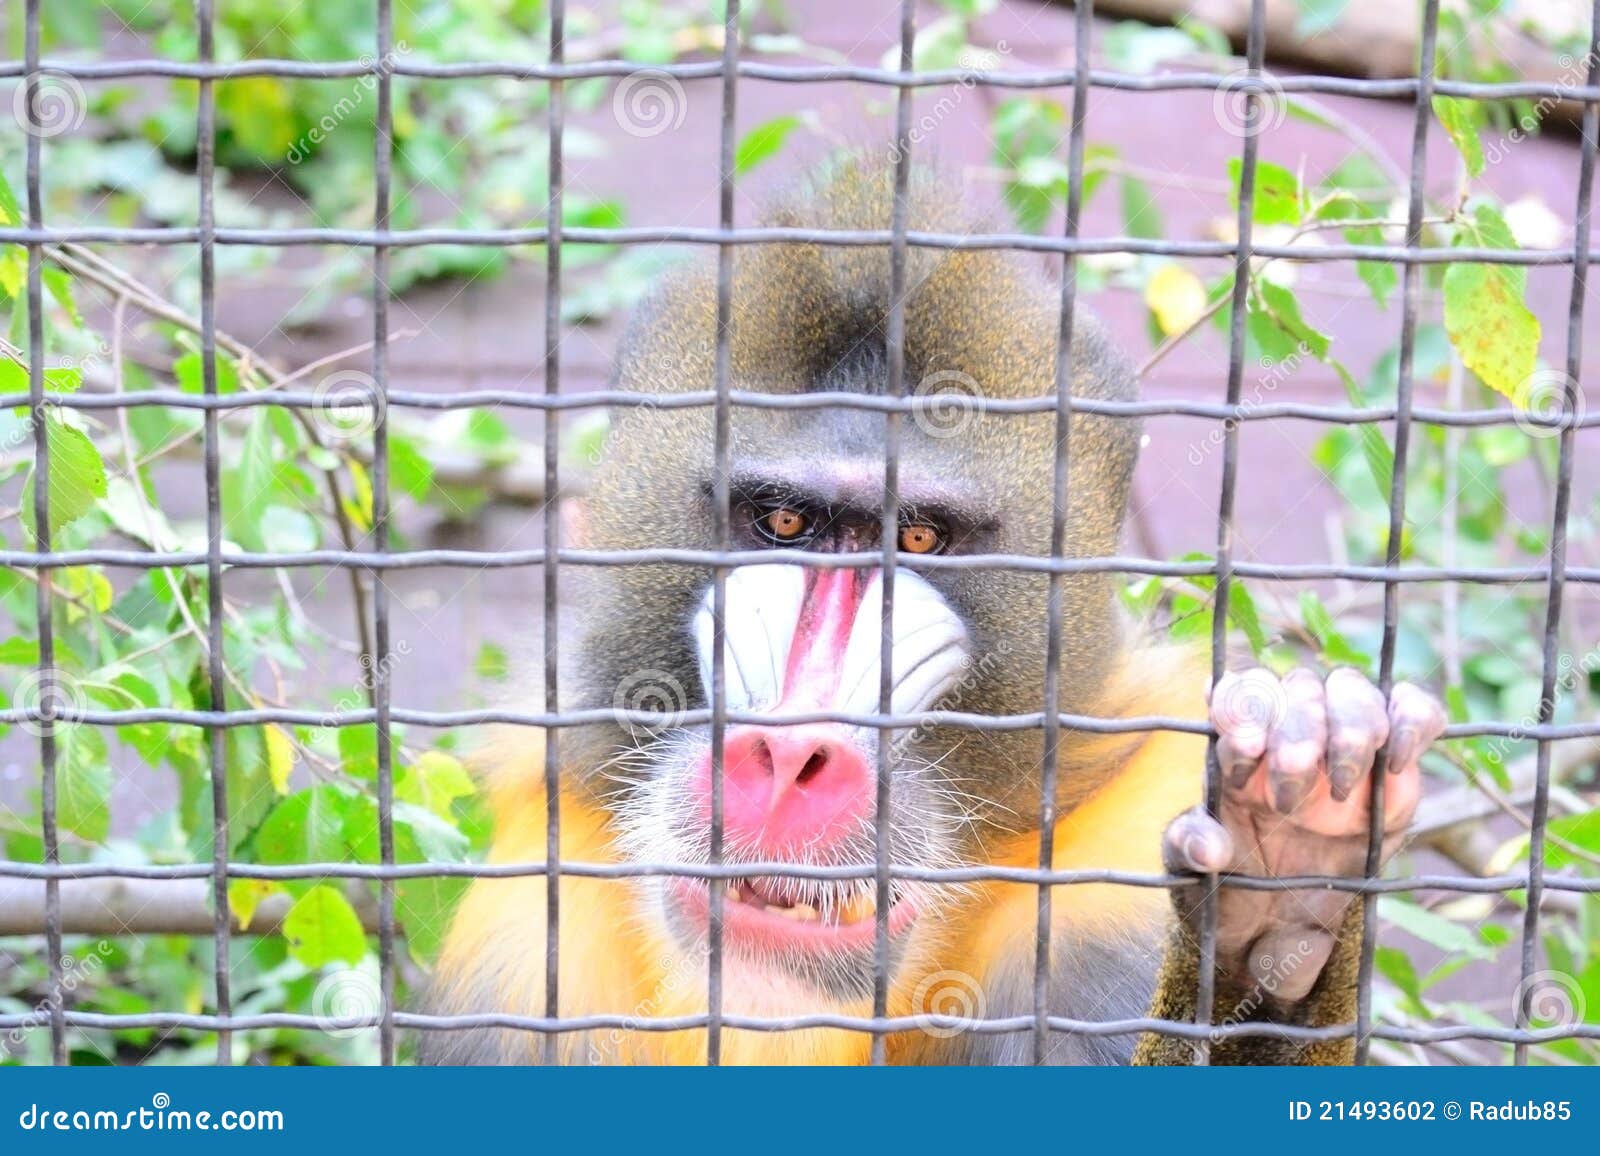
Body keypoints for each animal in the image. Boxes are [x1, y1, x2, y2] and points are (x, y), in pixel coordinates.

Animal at [418, 159, 1447, 1066]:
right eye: (783, 522)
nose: (789, 757)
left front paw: (1288, 882)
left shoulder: (1102, 909)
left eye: (917, 538)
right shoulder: (524, 947)